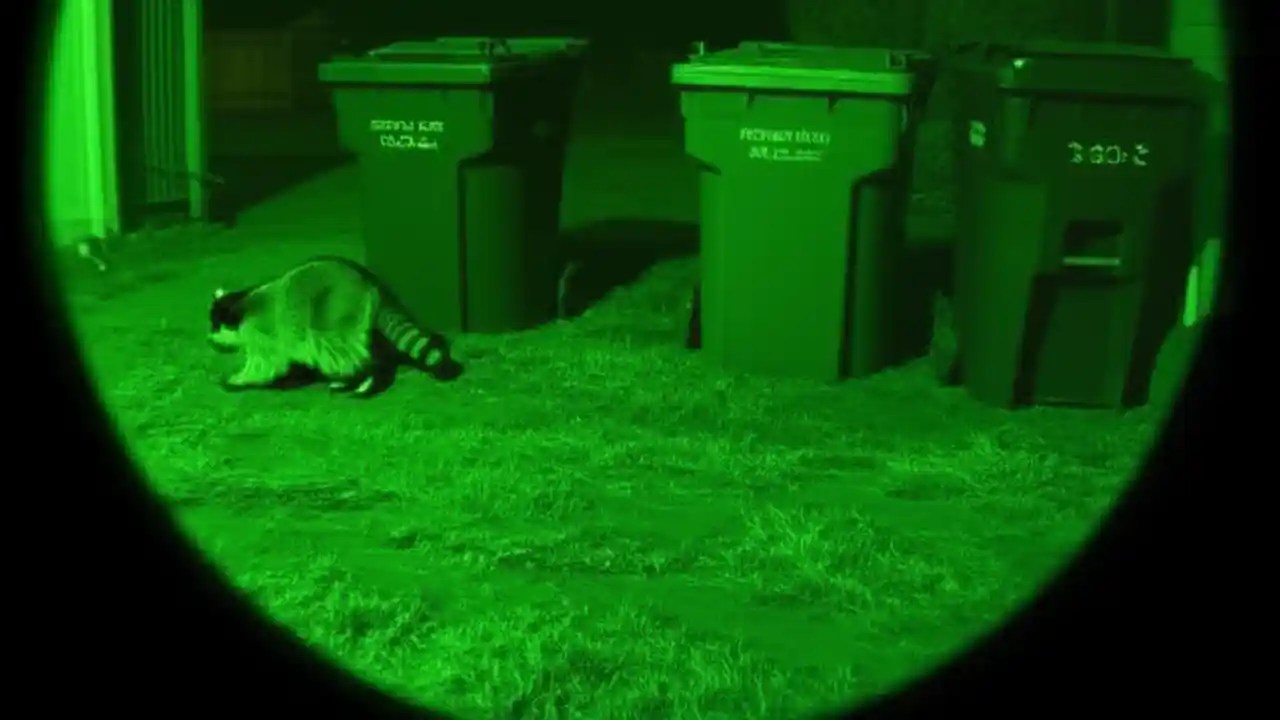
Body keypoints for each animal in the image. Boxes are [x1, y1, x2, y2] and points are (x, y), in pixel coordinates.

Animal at [208, 256, 458, 396]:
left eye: (218, 326)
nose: (209, 339)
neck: (242, 302)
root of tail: (370, 283)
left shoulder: (266, 332)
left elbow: (265, 364)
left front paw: (240, 379)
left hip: (333, 315)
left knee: (337, 350)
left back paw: (365, 377)